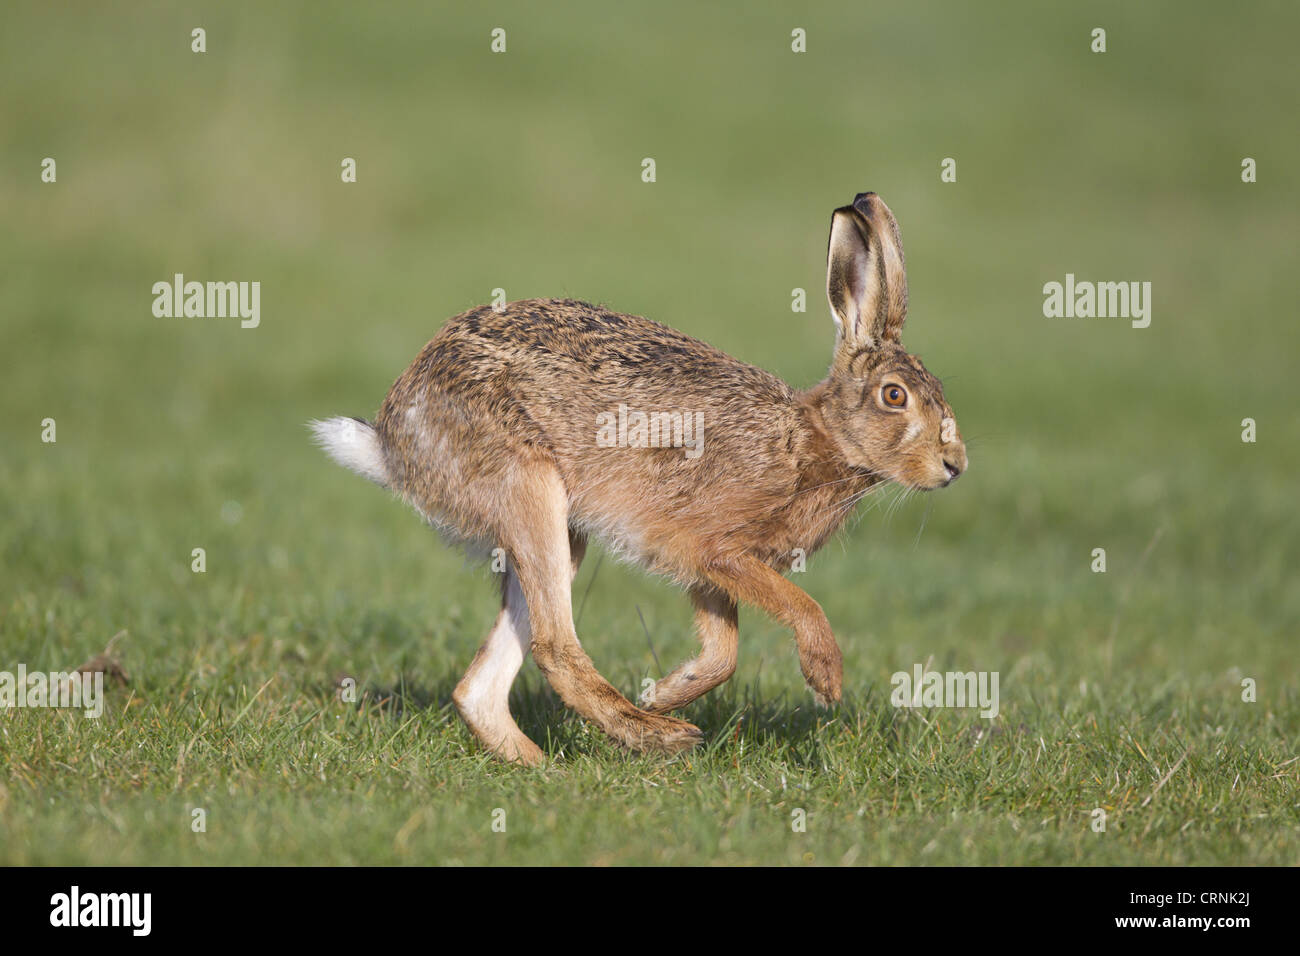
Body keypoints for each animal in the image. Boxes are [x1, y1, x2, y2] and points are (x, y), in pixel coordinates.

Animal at [311, 192, 966, 765]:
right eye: (894, 396)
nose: (954, 466)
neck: (810, 440)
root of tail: (396, 441)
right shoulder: (714, 549)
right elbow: (795, 606)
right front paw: (824, 679)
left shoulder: (709, 573)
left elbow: (724, 652)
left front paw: (666, 689)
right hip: (528, 488)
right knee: (555, 646)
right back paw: (658, 737)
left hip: (556, 530)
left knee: (483, 684)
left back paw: (545, 764)